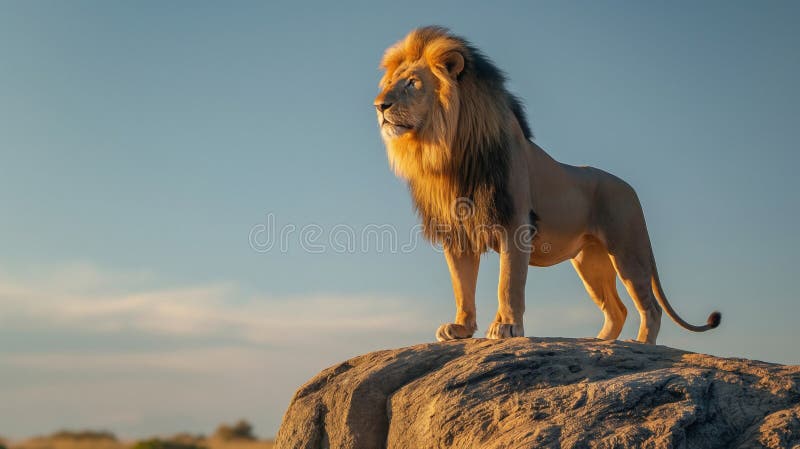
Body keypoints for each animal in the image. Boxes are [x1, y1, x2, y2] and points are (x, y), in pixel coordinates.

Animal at [374, 26, 720, 344]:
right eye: (390, 83)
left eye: (412, 83)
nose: (380, 105)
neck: (448, 152)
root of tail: (630, 189)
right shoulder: (457, 231)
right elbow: (462, 285)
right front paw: (460, 328)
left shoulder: (515, 221)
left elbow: (508, 283)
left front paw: (506, 327)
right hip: (591, 262)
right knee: (617, 310)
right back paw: (599, 343)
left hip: (628, 249)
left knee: (650, 307)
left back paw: (640, 345)